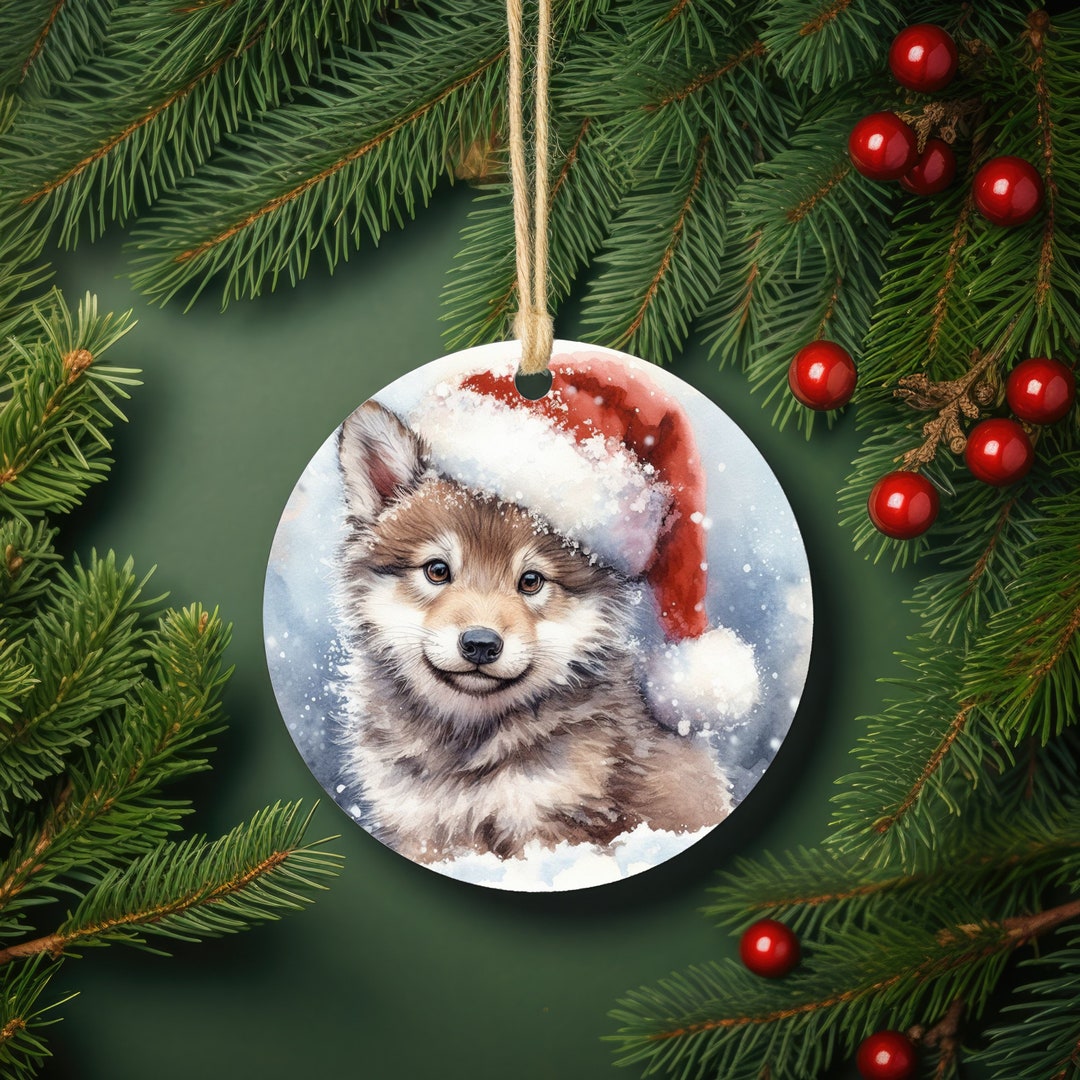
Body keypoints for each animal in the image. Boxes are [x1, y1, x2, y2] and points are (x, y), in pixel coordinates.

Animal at [334, 400, 732, 864]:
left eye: (531, 581)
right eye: (437, 571)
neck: (466, 745)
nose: (481, 644)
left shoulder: (549, 821)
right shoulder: (422, 829)